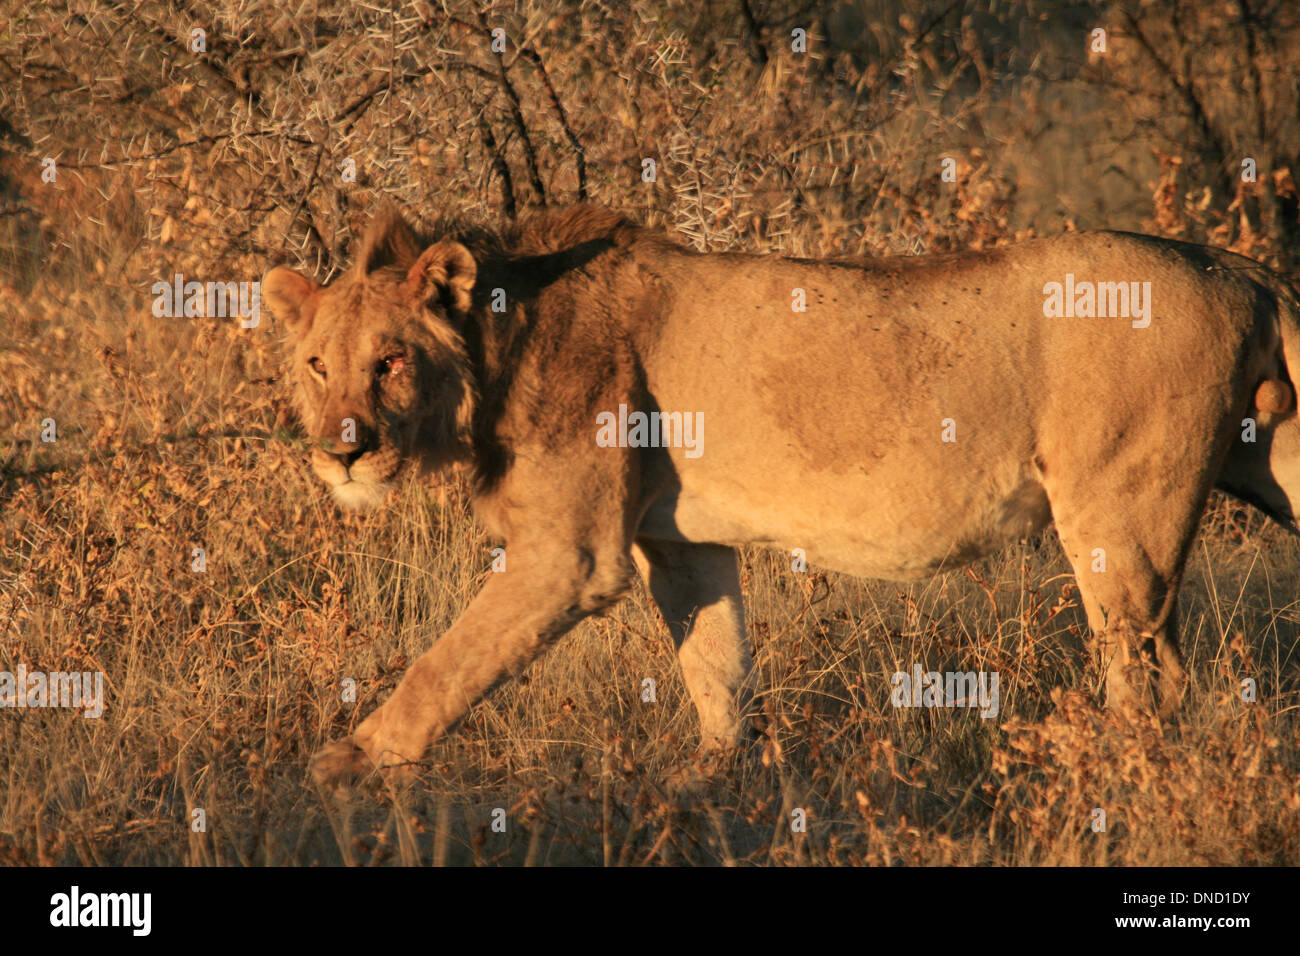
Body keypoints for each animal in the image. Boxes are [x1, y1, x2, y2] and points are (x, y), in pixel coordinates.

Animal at [261, 204, 1300, 786]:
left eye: (389, 362)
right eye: (316, 366)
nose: (342, 452)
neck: (499, 346)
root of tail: (1244, 269)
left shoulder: (572, 555)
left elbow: (446, 664)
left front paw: (347, 766)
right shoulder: (681, 544)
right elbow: (717, 671)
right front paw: (712, 788)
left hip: (1119, 522)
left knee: (1154, 680)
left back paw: (1121, 781)